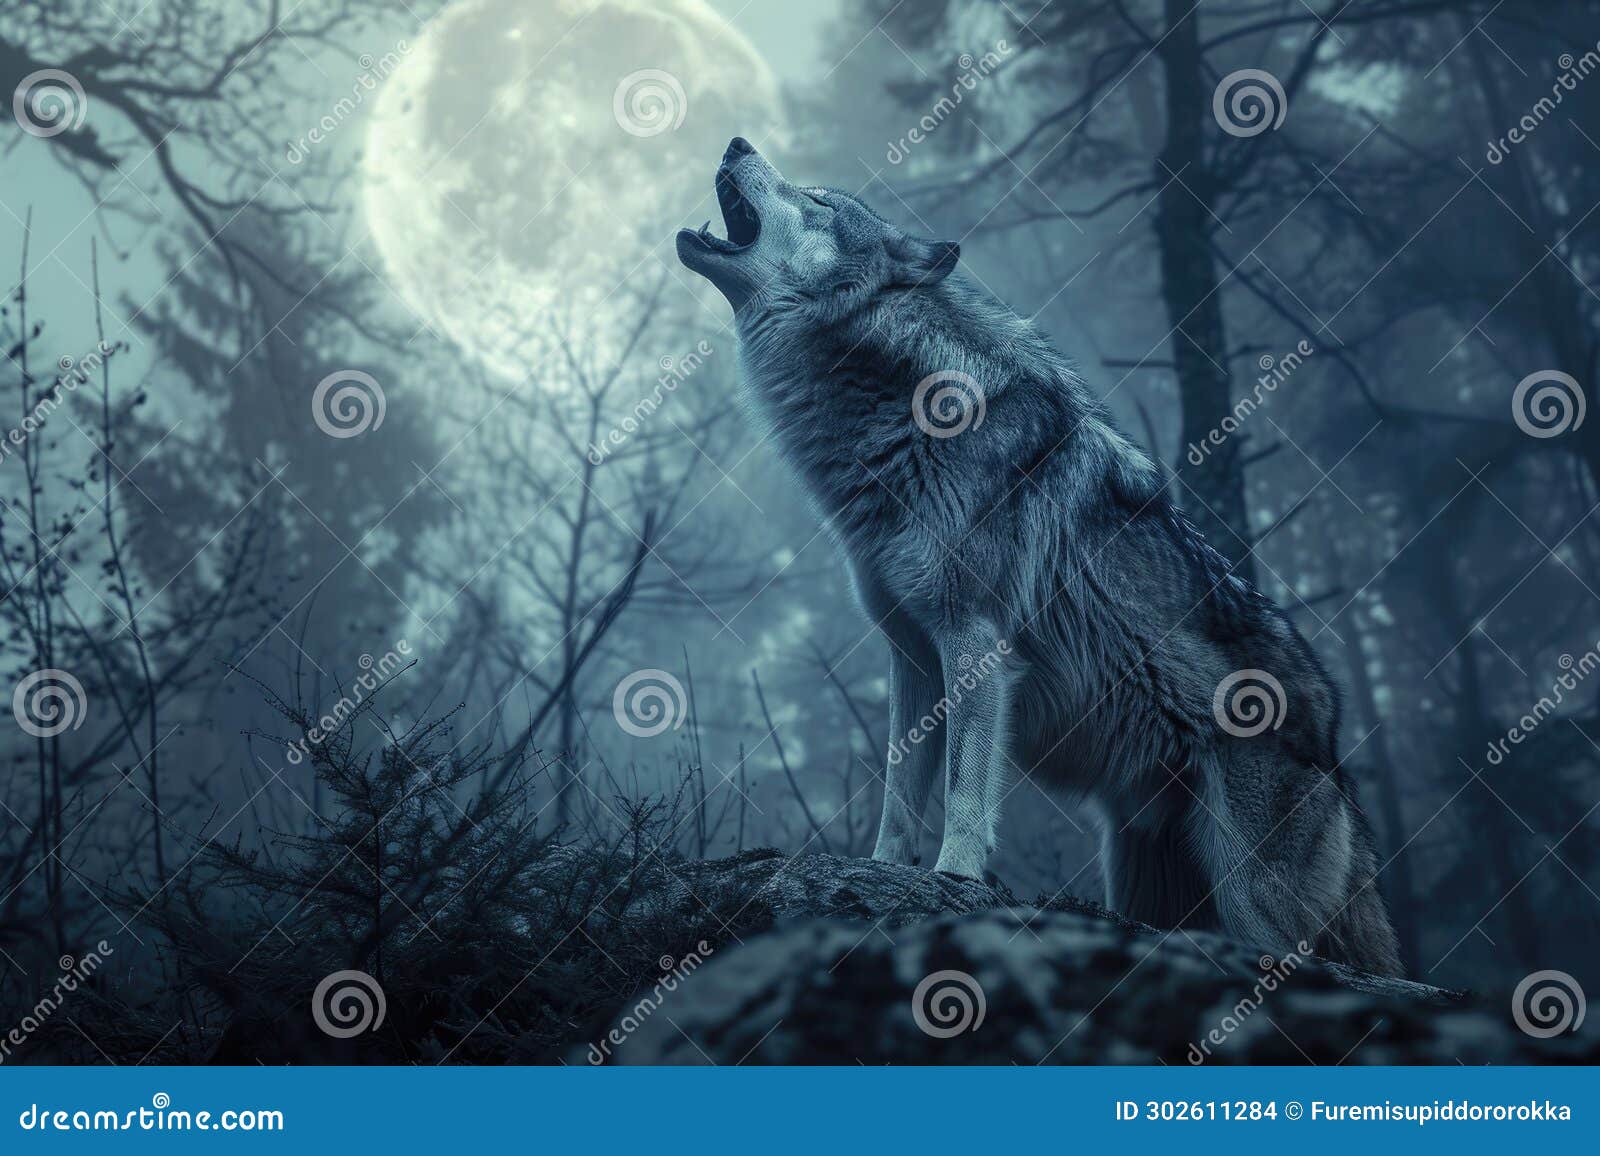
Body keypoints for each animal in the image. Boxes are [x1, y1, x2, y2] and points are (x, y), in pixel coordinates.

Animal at [677, 137, 1403, 976]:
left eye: (819, 201)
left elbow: (964, 790)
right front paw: (880, 871)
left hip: (1255, 901)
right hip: (1145, 881)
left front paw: (955, 879)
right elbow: (898, 791)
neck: (900, 409)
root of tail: (1337, 749)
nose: (736, 142)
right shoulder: (912, 656)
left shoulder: (975, 643)